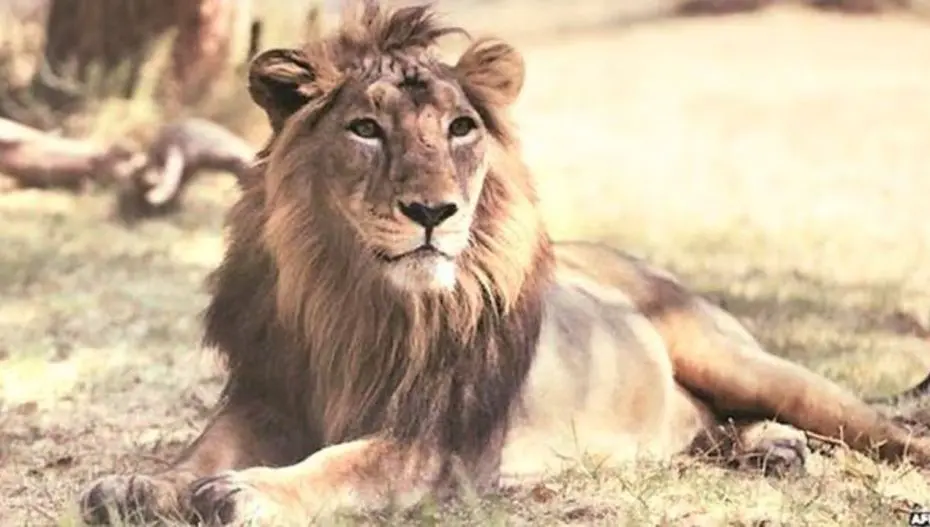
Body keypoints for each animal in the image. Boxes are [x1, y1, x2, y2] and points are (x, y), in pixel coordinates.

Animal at [78, 1, 930, 525]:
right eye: (365, 130)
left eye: (460, 128)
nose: (433, 211)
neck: (353, 297)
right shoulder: (265, 395)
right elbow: (201, 447)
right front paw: (143, 483)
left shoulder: (434, 445)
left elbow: (341, 464)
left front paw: (246, 490)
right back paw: (770, 449)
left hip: (743, 359)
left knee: (874, 425)